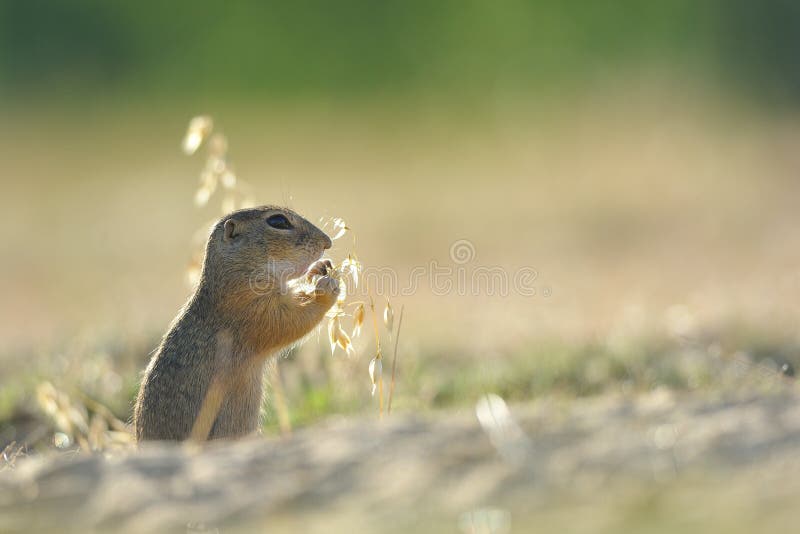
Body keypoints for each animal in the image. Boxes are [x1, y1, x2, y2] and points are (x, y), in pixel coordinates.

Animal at [133, 206, 338, 441]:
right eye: (278, 221)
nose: (327, 242)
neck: (238, 272)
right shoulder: (252, 309)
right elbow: (289, 321)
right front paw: (326, 288)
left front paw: (321, 268)